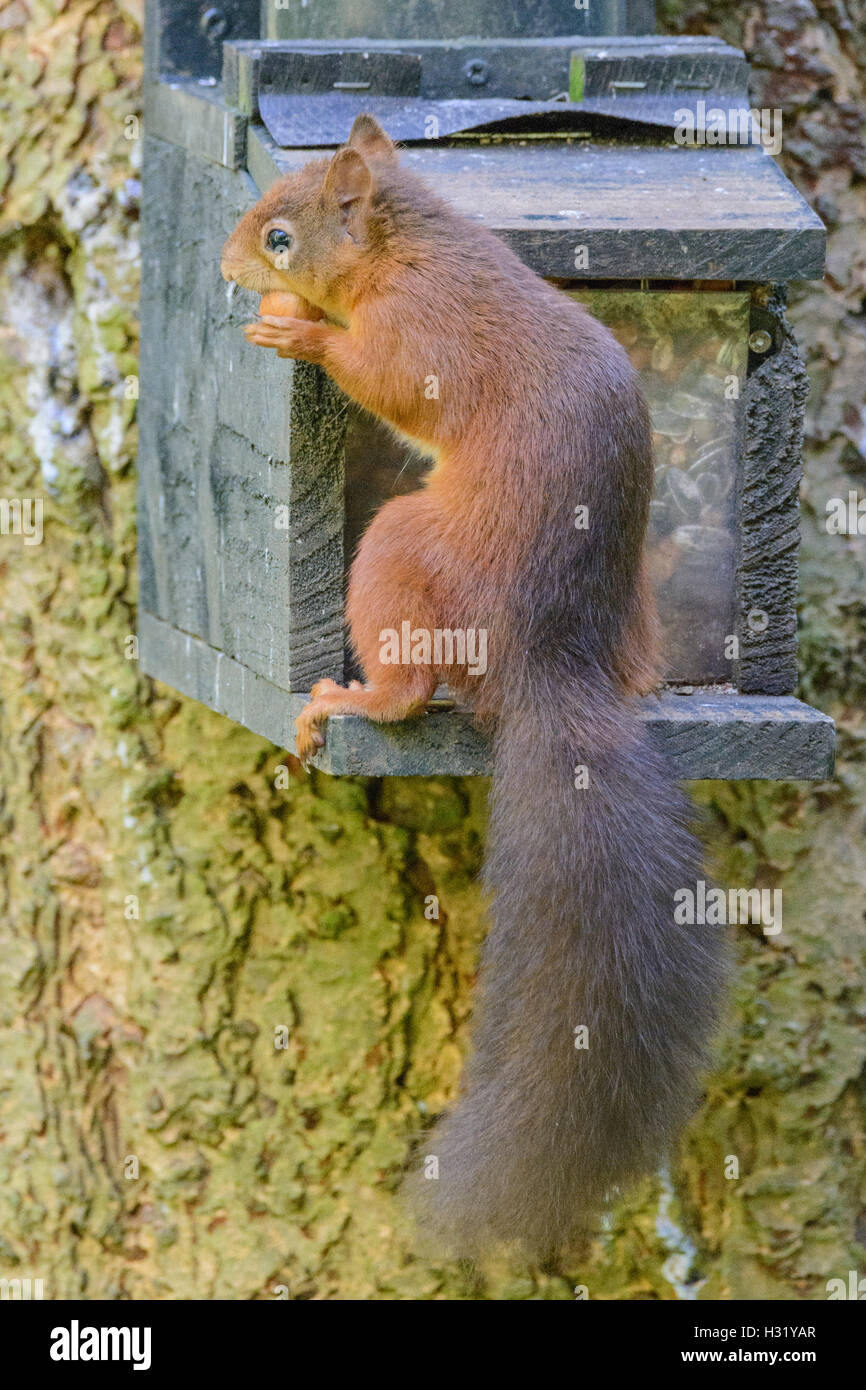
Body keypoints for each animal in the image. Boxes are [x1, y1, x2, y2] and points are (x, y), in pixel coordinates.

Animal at [221, 114, 728, 1260]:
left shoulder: (418, 335)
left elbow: (386, 380)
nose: (228, 265)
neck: (410, 247)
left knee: (412, 690)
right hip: (631, 611)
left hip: (404, 550)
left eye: (279, 237)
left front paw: (299, 333)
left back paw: (349, 703)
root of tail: (550, 662)